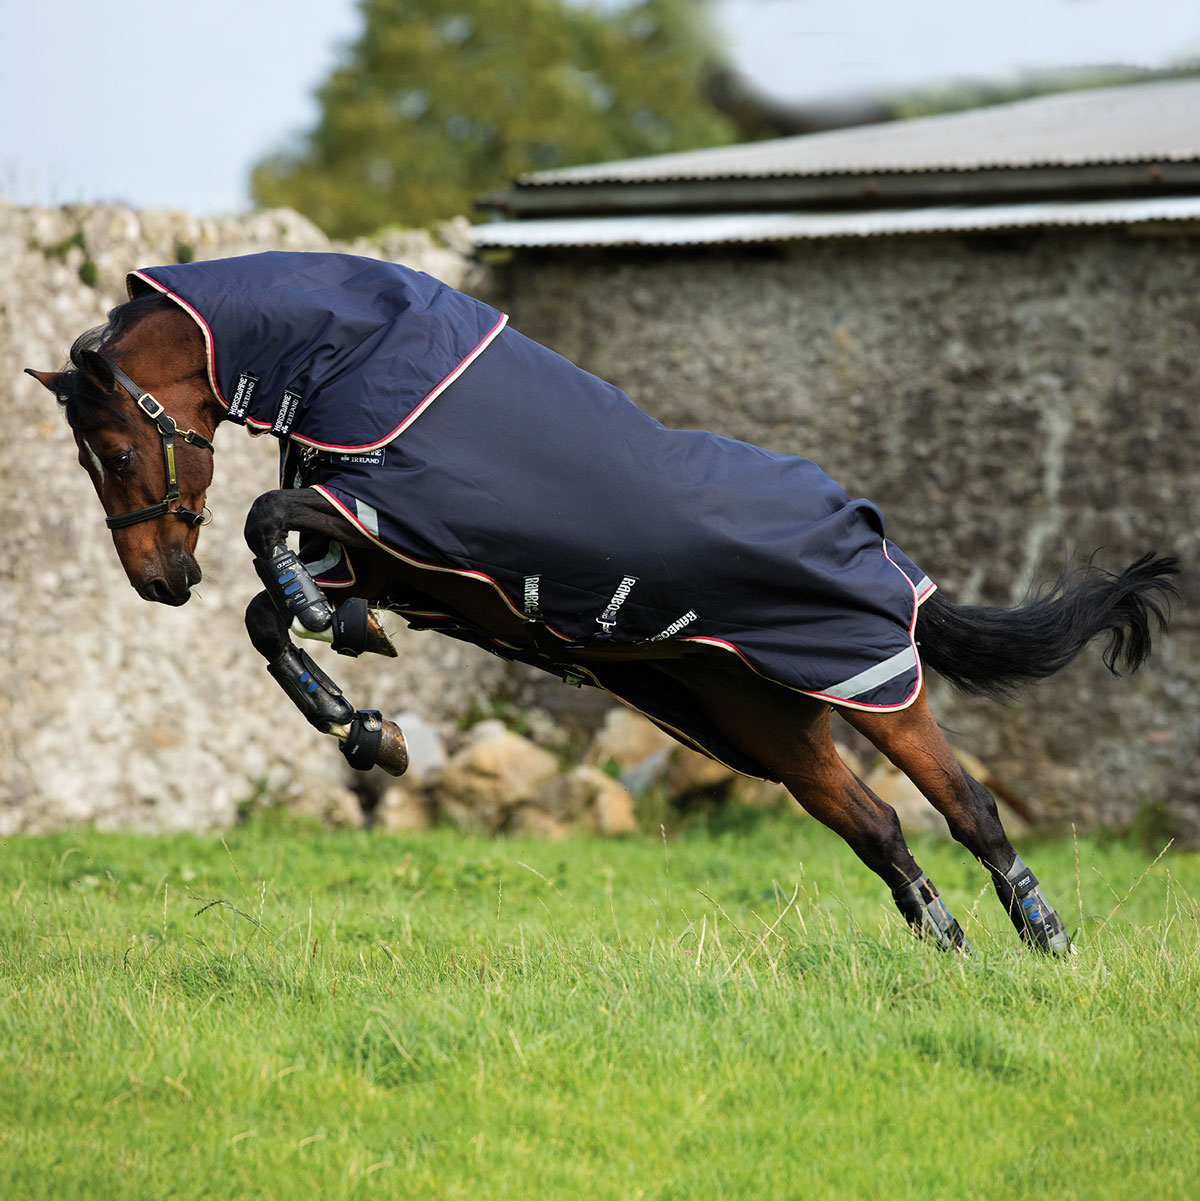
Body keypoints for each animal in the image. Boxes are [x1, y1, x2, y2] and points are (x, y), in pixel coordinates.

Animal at [27, 250, 1179, 958]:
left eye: (117, 450)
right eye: (86, 460)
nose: (160, 581)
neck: (363, 357)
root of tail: (878, 546)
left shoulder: (401, 521)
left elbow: (270, 528)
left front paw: (331, 637)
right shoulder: (391, 555)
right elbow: (268, 618)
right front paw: (362, 726)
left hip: (873, 685)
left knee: (968, 808)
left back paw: (1046, 940)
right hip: (772, 727)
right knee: (881, 828)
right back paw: (946, 945)